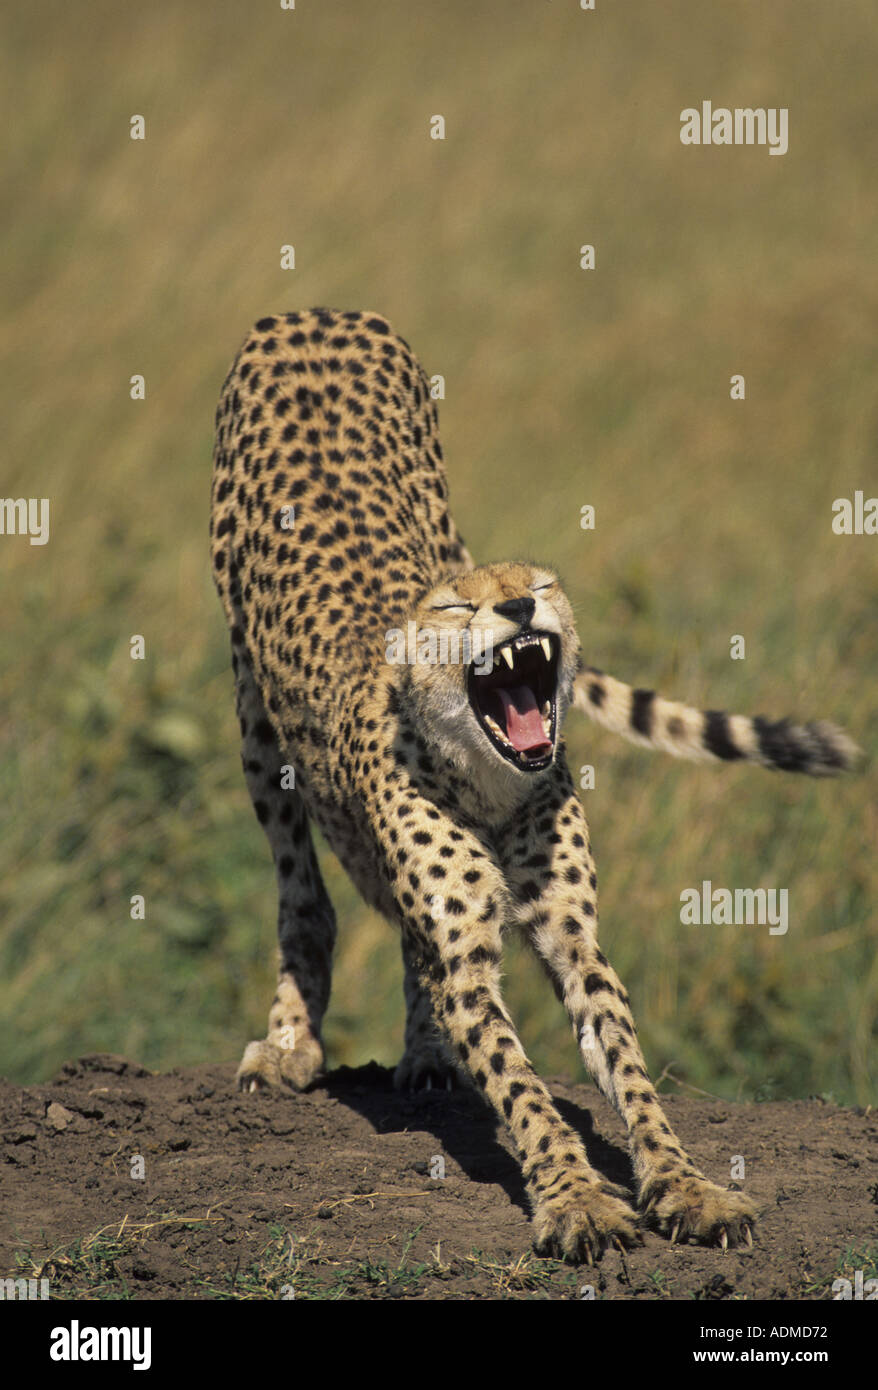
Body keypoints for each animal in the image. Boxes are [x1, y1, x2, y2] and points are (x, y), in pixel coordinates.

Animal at [209, 307, 858, 1262]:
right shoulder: (467, 958)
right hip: (255, 716)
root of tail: (311, 311)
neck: (488, 784)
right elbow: (522, 1087)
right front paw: (577, 1199)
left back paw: (425, 1058)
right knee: (306, 897)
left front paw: (685, 1186)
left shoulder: (573, 936)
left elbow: (627, 1070)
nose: (518, 607)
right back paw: (289, 1042)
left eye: (543, 583)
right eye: (455, 610)